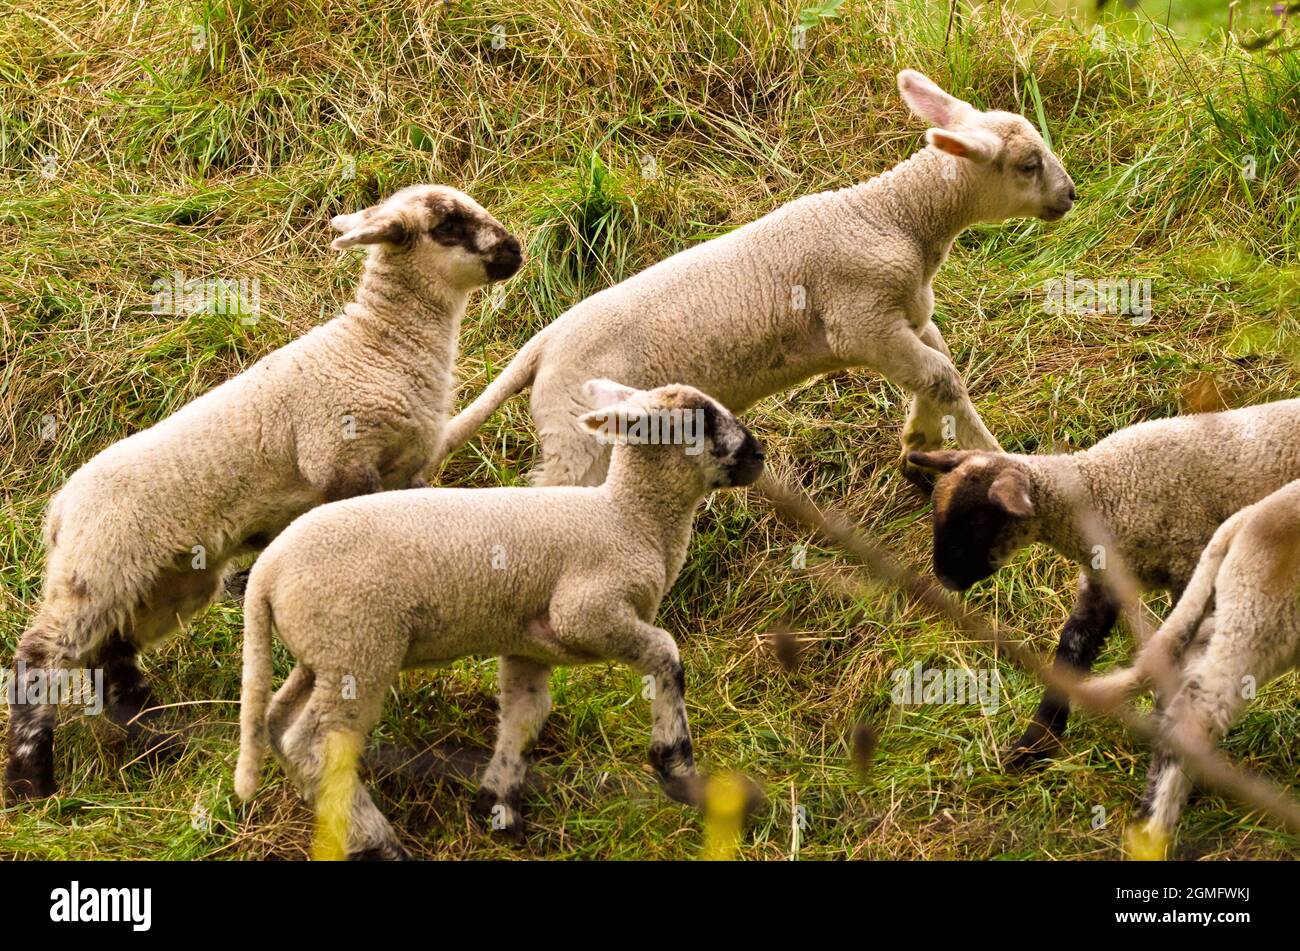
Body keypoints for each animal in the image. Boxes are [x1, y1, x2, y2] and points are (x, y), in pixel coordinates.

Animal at [3, 184, 523, 803]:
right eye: (448, 225)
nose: (515, 251)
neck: (377, 346)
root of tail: (59, 509)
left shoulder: (403, 475)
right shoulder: (341, 461)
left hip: (164, 583)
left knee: (111, 657)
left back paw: (157, 739)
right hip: (97, 569)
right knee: (41, 654)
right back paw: (31, 779)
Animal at [233, 379, 766, 859]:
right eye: (701, 418)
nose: (758, 454)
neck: (629, 520)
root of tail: (266, 571)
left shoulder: (528, 644)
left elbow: (524, 717)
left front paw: (499, 805)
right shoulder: (586, 612)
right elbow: (666, 654)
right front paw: (674, 766)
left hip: (324, 650)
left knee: (278, 723)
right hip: (358, 648)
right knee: (314, 742)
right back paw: (377, 841)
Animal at [429, 69, 1075, 492]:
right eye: (1027, 165)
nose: (1069, 196)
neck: (895, 216)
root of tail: (541, 346)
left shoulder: (905, 316)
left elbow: (937, 371)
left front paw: (920, 444)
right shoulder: (861, 321)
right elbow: (943, 377)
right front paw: (997, 461)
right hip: (579, 436)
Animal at [907, 397, 1300, 768]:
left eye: (975, 524)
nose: (945, 577)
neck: (1101, 489)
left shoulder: (1188, 562)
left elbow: (1175, 652)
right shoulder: (1100, 585)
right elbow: (1071, 650)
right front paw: (1033, 745)